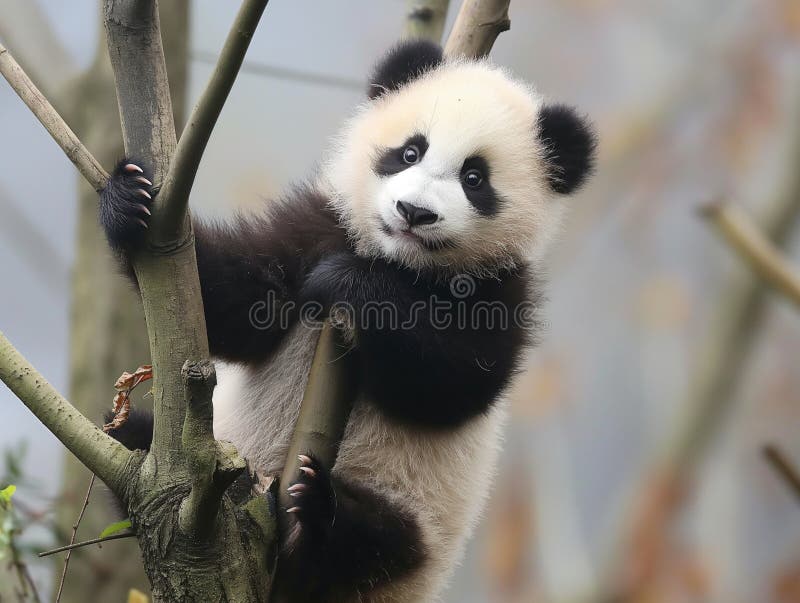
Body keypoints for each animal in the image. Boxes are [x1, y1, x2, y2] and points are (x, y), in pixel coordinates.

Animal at [100, 40, 595, 603]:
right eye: (409, 152)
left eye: (475, 179)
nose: (413, 212)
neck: (399, 261)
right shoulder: (319, 223)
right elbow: (238, 302)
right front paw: (128, 201)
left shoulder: (504, 288)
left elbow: (455, 385)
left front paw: (348, 284)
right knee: (140, 453)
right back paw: (133, 435)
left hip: (416, 521)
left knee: (374, 544)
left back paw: (321, 510)